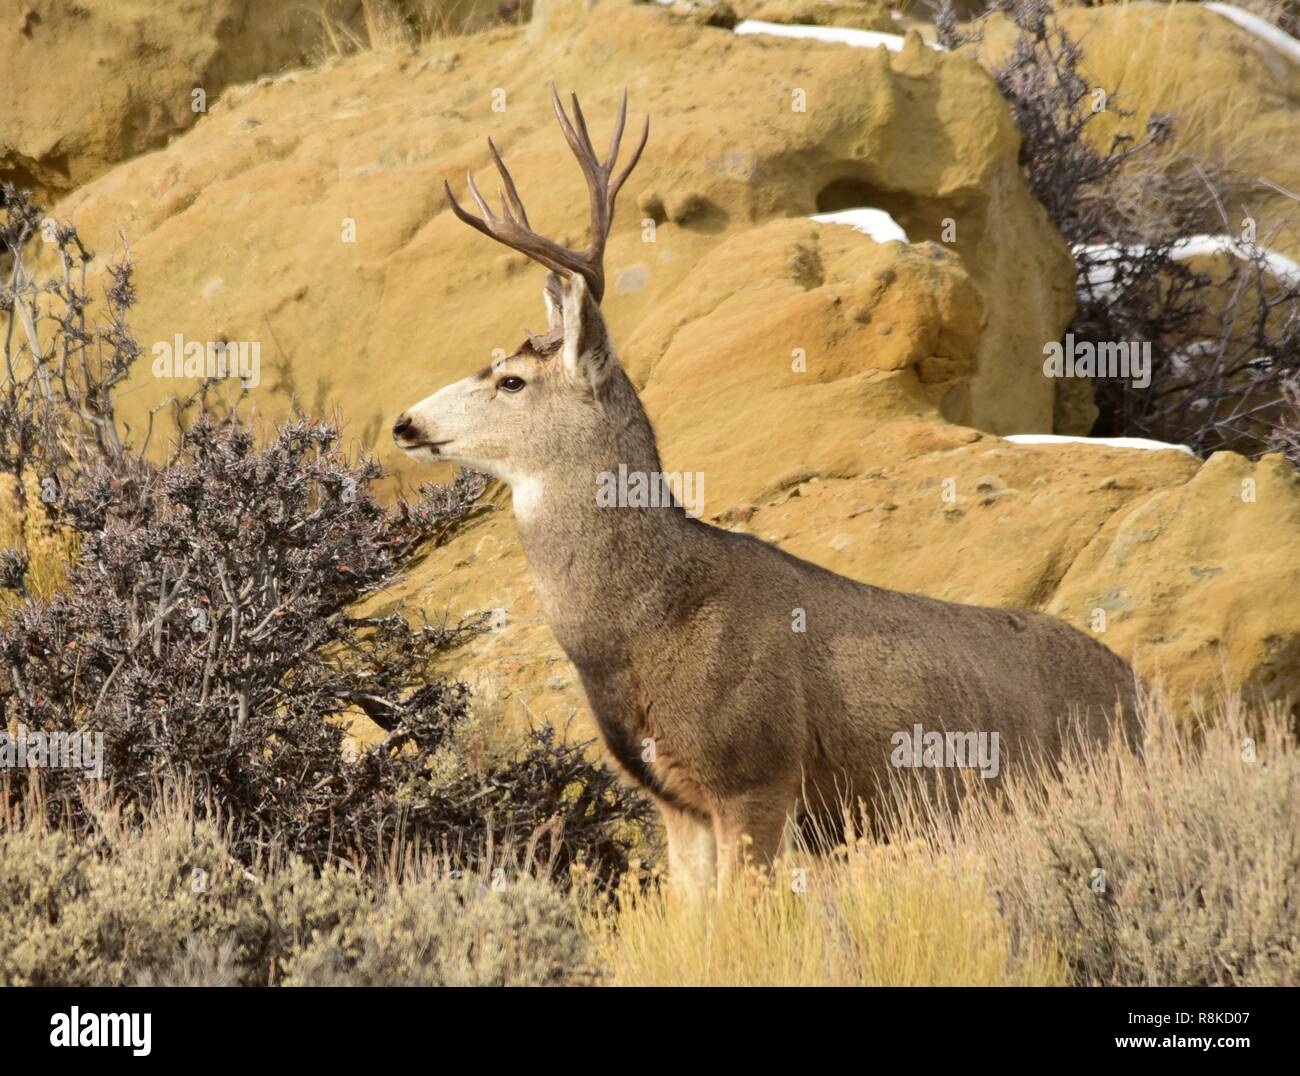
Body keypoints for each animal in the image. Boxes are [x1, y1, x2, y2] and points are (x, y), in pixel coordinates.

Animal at [393, 86, 1142, 898]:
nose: (404, 422)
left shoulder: (756, 774)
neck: (649, 620)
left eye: (510, 380)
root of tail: (1146, 693)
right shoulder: (677, 800)